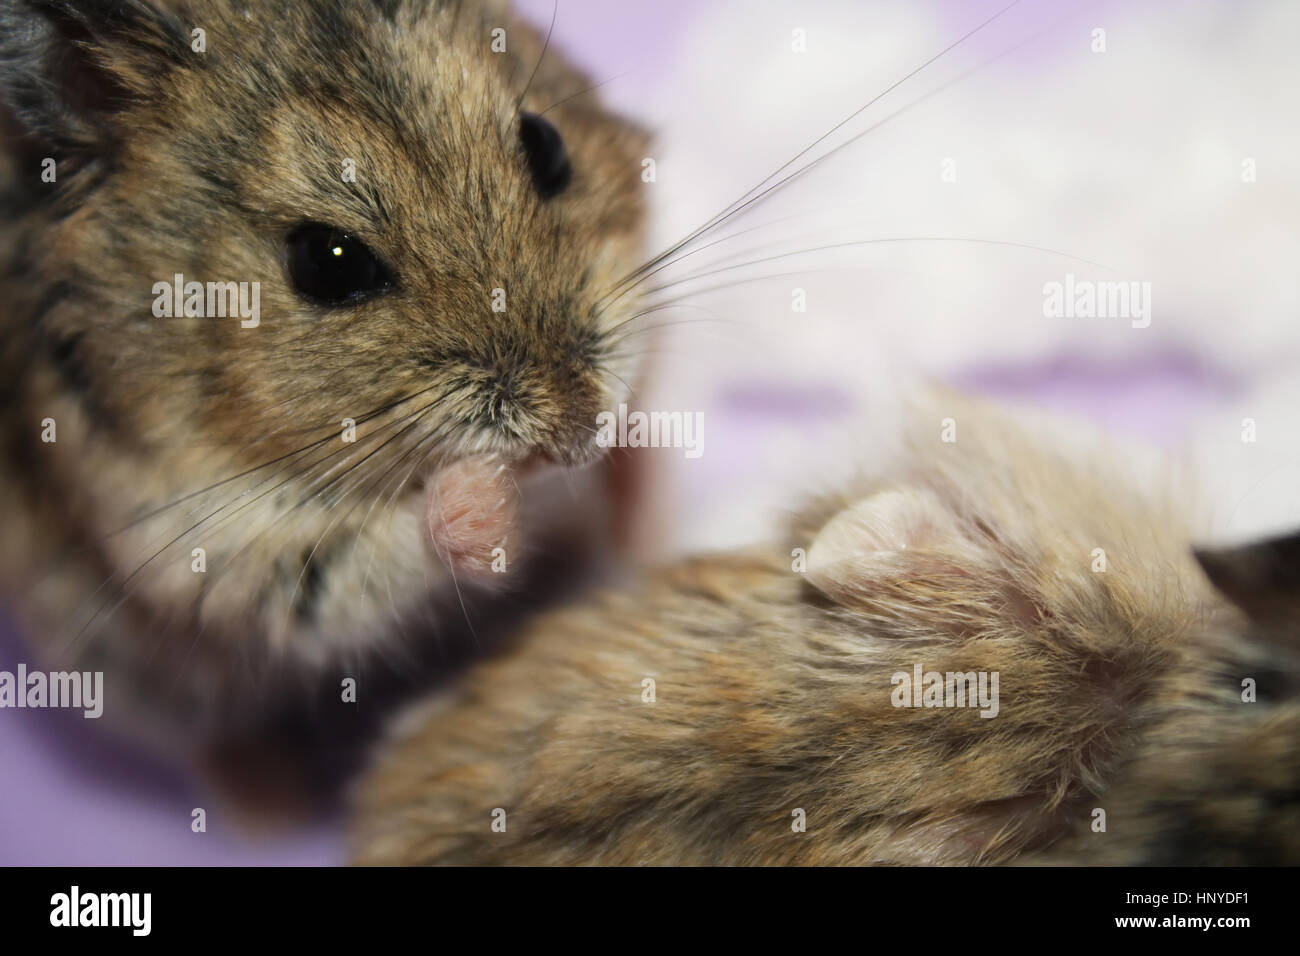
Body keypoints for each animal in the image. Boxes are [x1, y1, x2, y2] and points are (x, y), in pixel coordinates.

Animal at [0, 0, 651, 753]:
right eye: (327, 261)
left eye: (545, 143)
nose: (581, 439)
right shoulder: (195, 548)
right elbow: (362, 563)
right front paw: (480, 492)